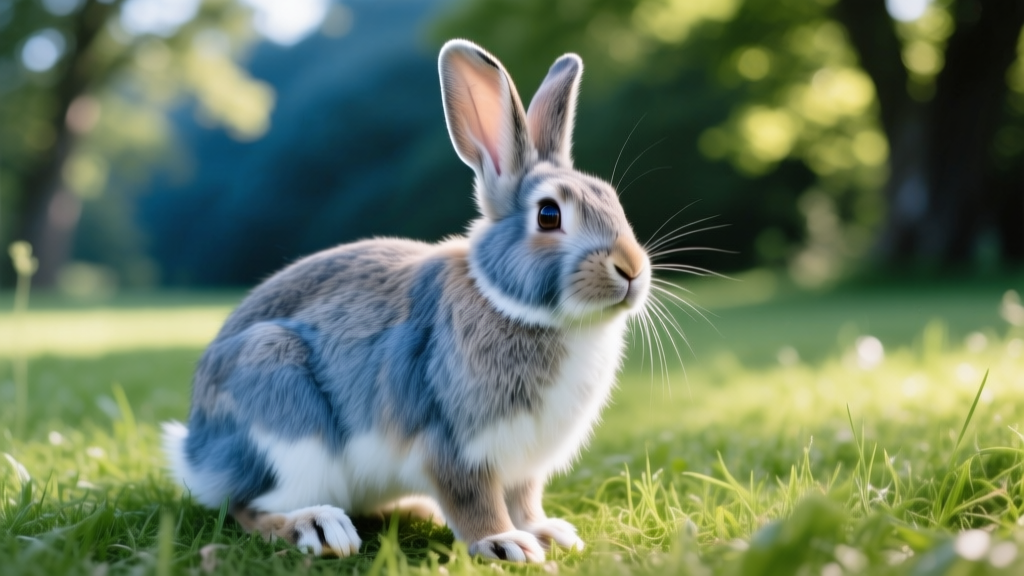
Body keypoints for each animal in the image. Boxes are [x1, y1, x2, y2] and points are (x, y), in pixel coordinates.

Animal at [163, 38, 651, 563]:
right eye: (548, 215)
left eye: (612, 199)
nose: (632, 270)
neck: (513, 306)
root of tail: (197, 452)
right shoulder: (453, 444)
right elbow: (473, 500)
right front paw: (504, 543)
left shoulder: (523, 465)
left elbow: (524, 501)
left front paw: (548, 532)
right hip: (284, 420)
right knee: (249, 508)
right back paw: (318, 527)